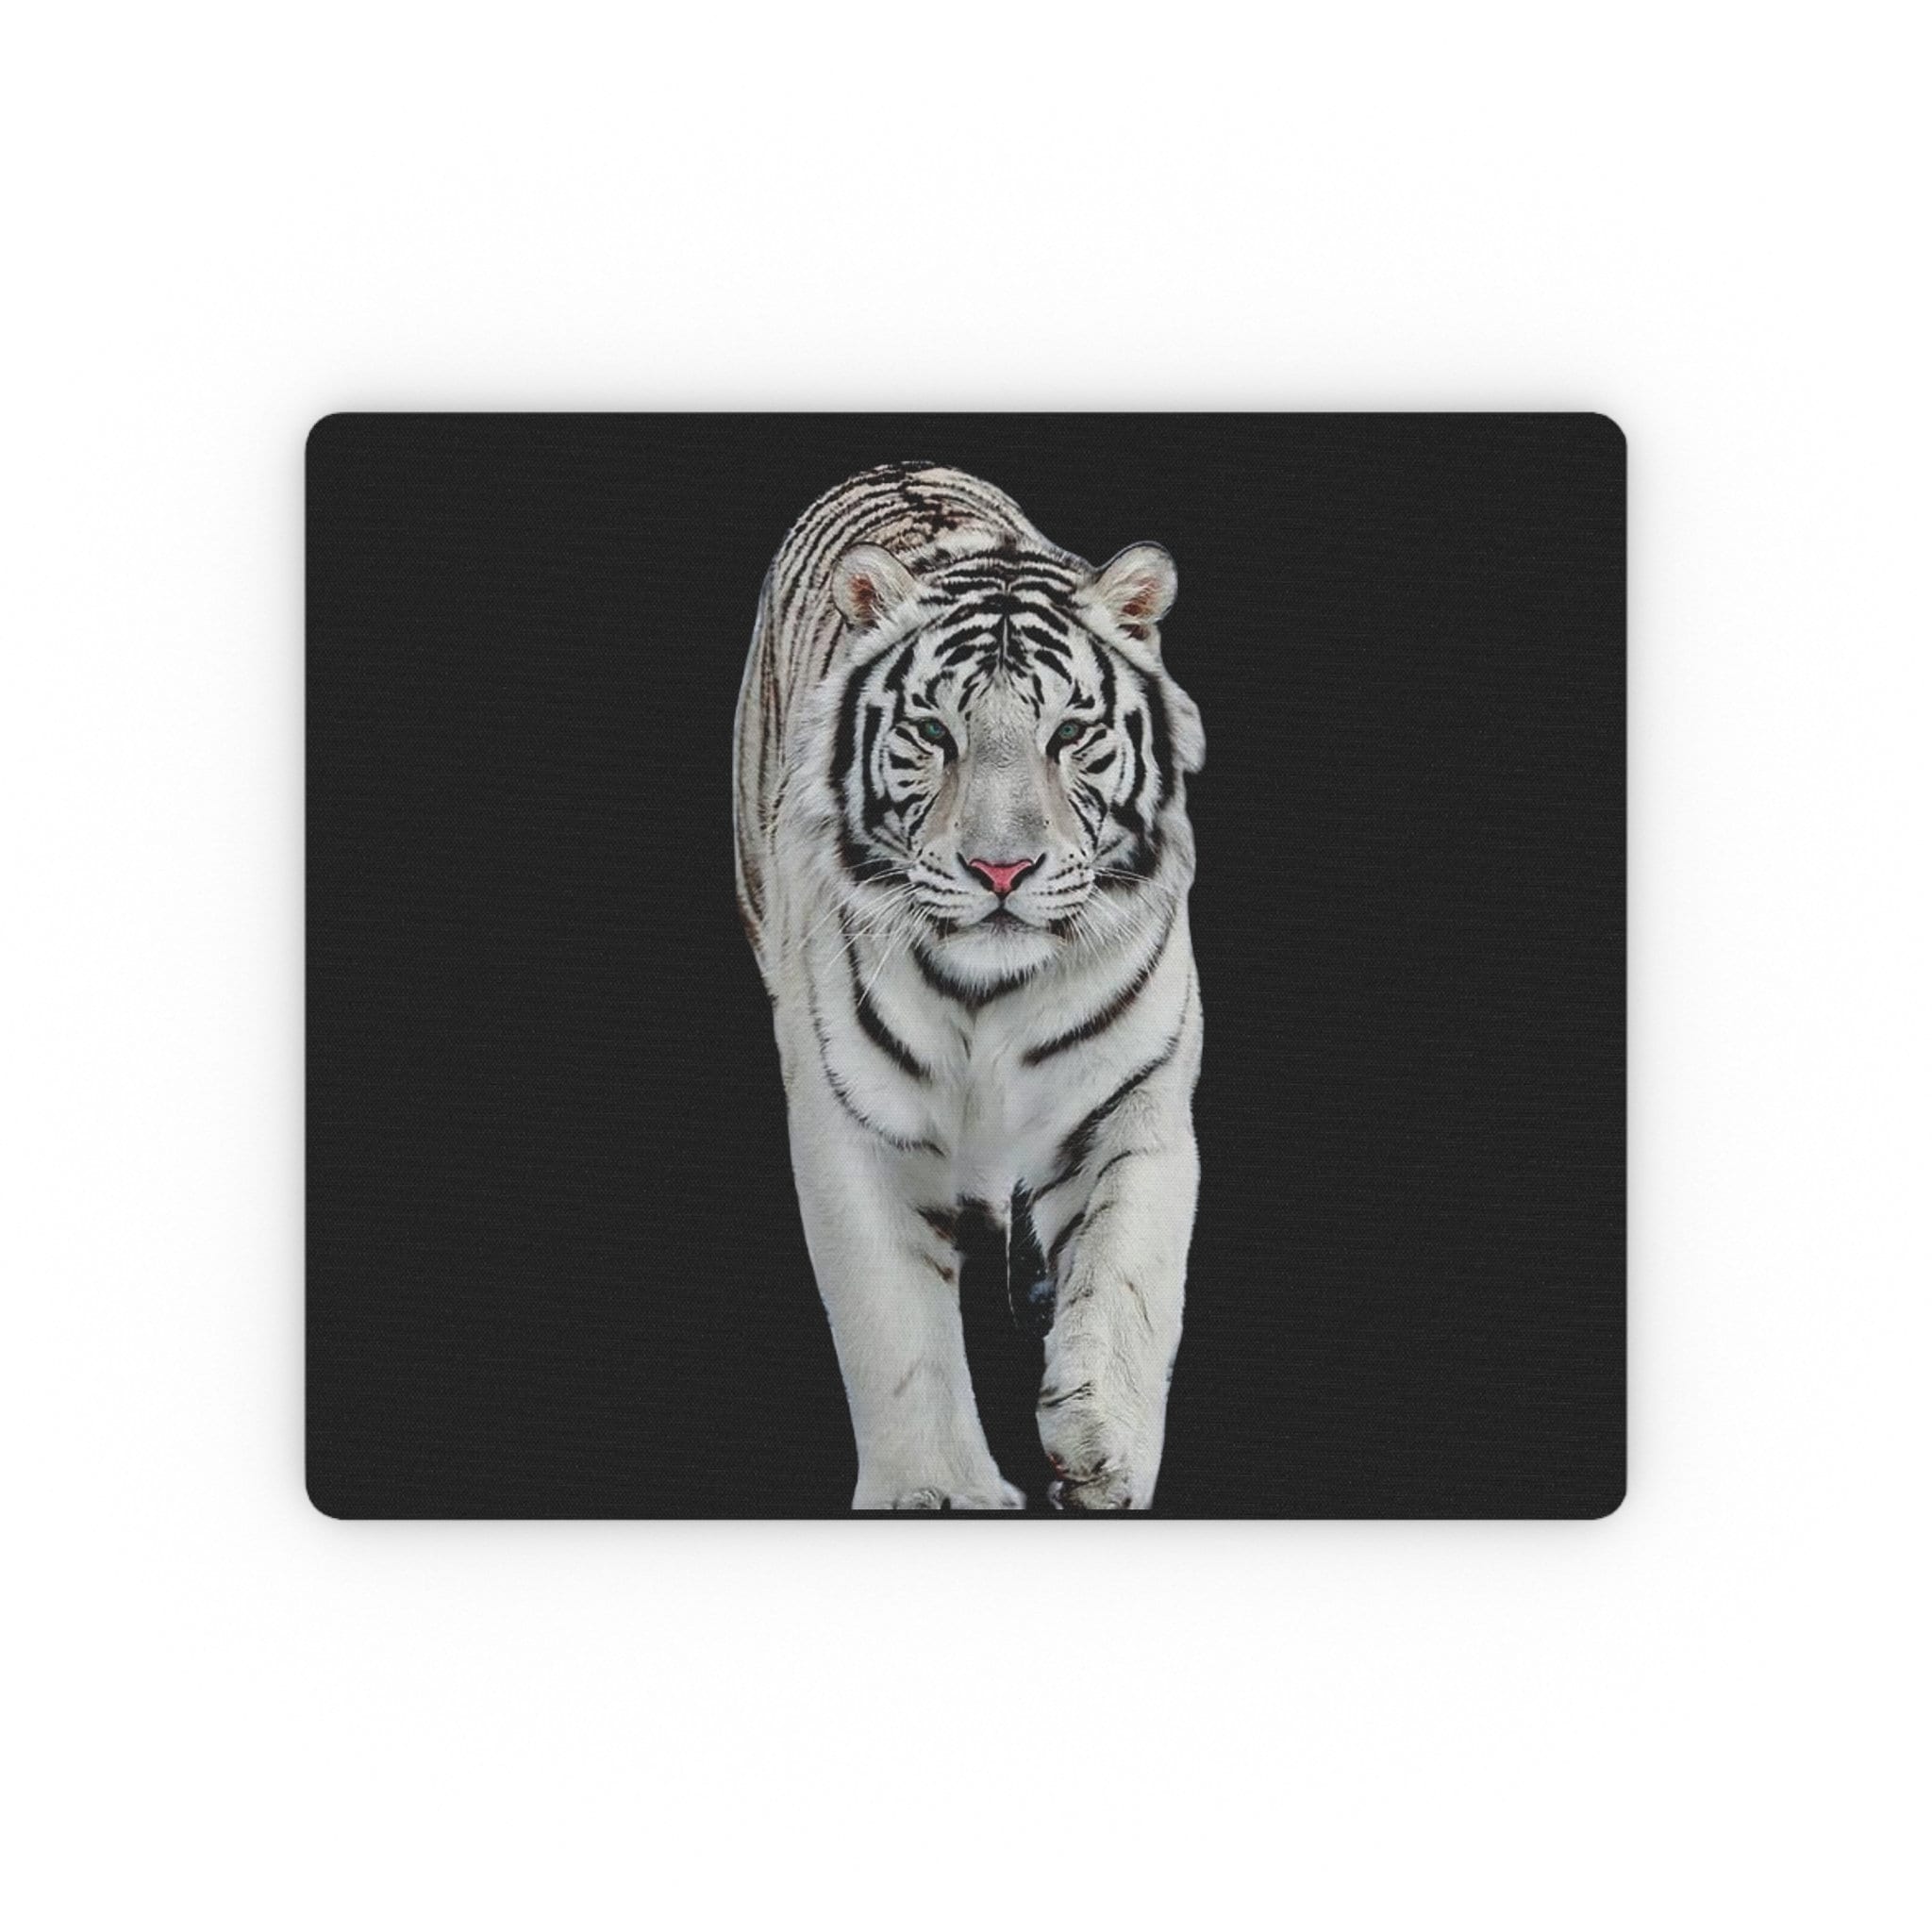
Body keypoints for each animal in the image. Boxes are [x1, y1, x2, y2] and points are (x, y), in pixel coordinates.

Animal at [732, 462, 1204, 1511]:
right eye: (932, 733)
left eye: (1069, 733)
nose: (1001, 869)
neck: (991, 995)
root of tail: (896, 463)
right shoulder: (854, 1117)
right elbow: (894, 1318)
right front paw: (937, 1487)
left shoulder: (1132, 1096)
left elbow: (1128, 1274)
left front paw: (1100, 1445)